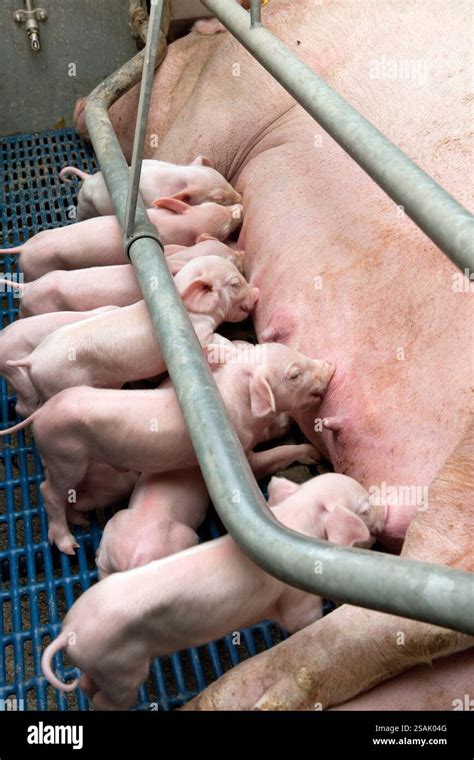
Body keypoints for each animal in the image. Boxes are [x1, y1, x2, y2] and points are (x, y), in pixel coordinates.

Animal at [0, 343, 335, 554]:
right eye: (294, 374)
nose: (329, 365)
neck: (235, 404)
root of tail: (42, 413)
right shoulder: (243, 452)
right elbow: (273, 456)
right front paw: (313, 452)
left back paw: (80, 521)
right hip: (65, 457)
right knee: (48, 491)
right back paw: (70, 545)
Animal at [7, 257, 259, 414]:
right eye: (234, 284)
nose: (257, 292)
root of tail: (34, 359)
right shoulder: (200, 333)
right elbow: (216, 341)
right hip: (62, 382)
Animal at [41, 473, 379, 709]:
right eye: (364, 508)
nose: (381, 514)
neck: (297, 521)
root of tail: (67, 633)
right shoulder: (295, 598)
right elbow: (302, 621)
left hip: (102, 667)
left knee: (87, 686)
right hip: (122, 668)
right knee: (105, 700)